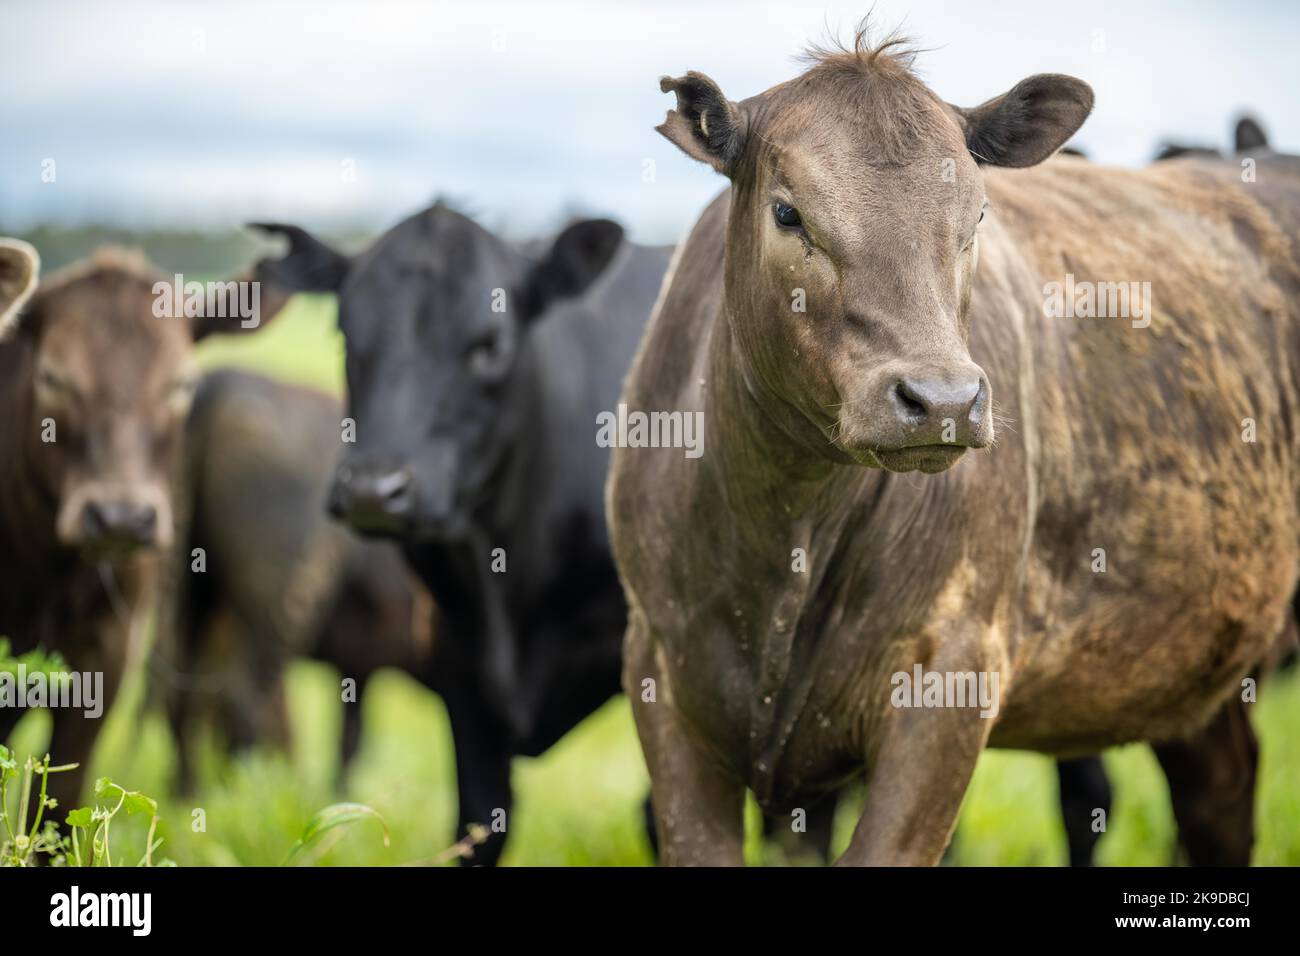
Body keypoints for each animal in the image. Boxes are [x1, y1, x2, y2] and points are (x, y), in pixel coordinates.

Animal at [154, 368, 436, 793]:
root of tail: (227, 379)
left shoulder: (359, 667)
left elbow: (349, 740)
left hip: (193, 591)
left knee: (184, 687)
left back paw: (186, 792)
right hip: (270, 605)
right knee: (241, 695)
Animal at [250, 208, 674, 864]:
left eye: (490, 345)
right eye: (345, 334)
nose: (373, 489)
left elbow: (663, 816)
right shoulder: (457, 655)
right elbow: (479, 821)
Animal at [608, 31, 1300, 865]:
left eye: (978, 214)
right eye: (787, 212)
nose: (942, 401)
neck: (781, 548)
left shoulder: (954, 672)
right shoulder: (659, 671)